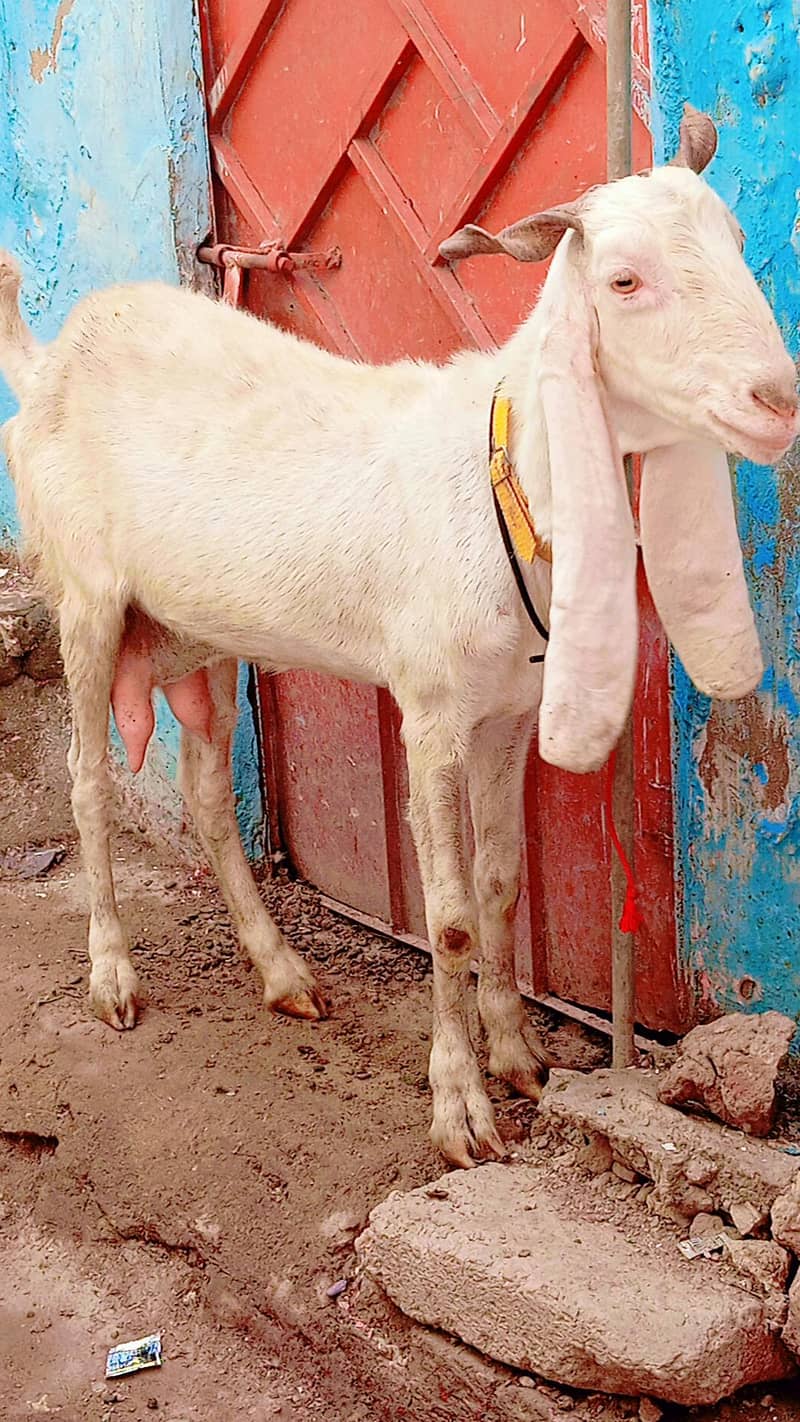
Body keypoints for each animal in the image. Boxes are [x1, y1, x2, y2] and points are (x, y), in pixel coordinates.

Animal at [0, 107, 797, 1167]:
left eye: (739, 241)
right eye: (624, 281)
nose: (777, 400)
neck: (504, 479)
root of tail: (47, 359)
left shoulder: (507, 712)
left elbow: (502, 887)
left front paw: (520, 1058)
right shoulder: (431, 713)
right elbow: (451, 920)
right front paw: (459, 1108)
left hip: (197, 631)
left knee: (207, 795)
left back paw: (283, 971)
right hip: (87, 600)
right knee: (88, 784)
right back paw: (113, 975)